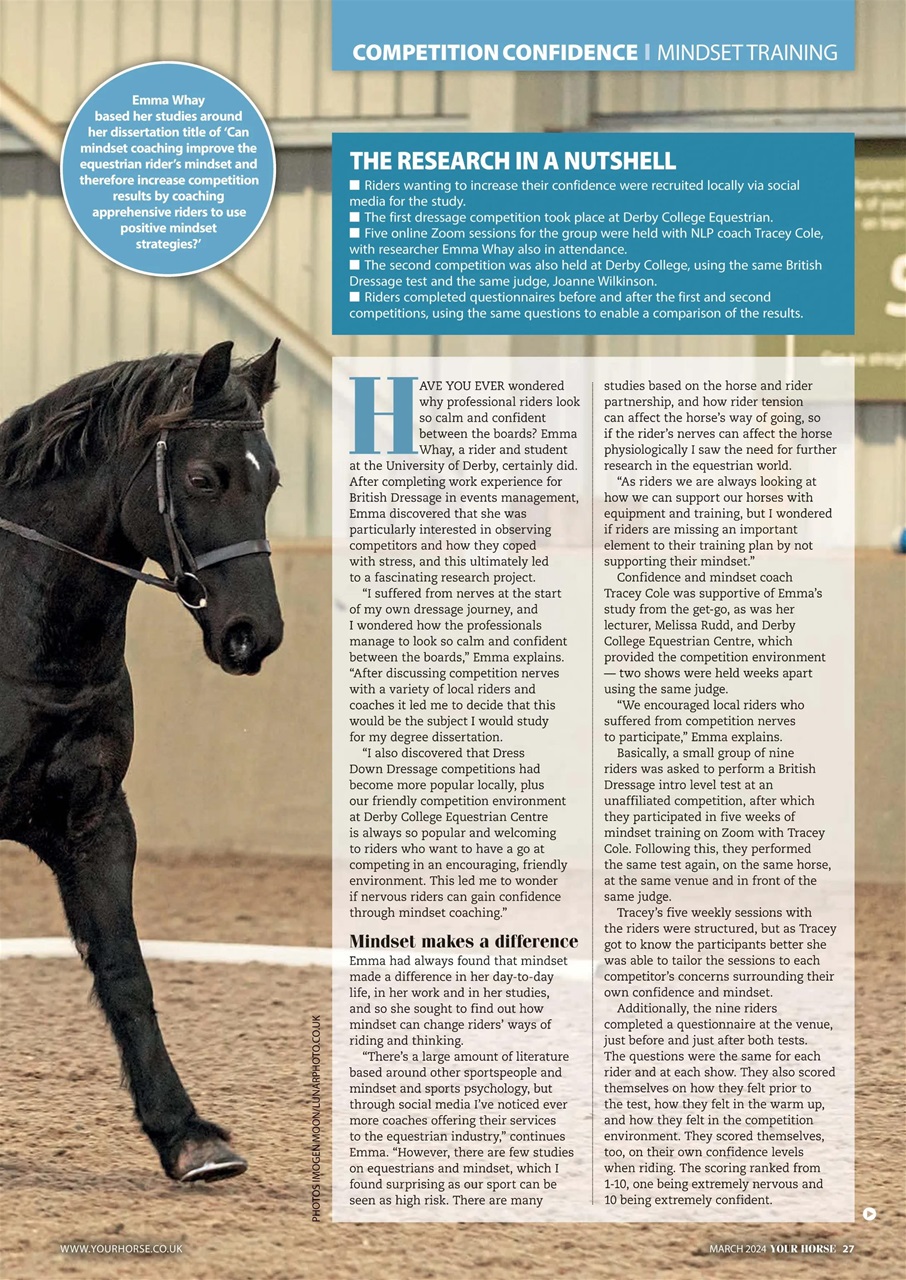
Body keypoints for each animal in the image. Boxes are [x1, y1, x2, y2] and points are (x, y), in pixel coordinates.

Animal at [0, 339, 284, 1182]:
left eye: (270, 480)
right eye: (203, 478)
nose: (253, 634)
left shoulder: (93, 820)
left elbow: (125, 970)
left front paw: (188, 1135)